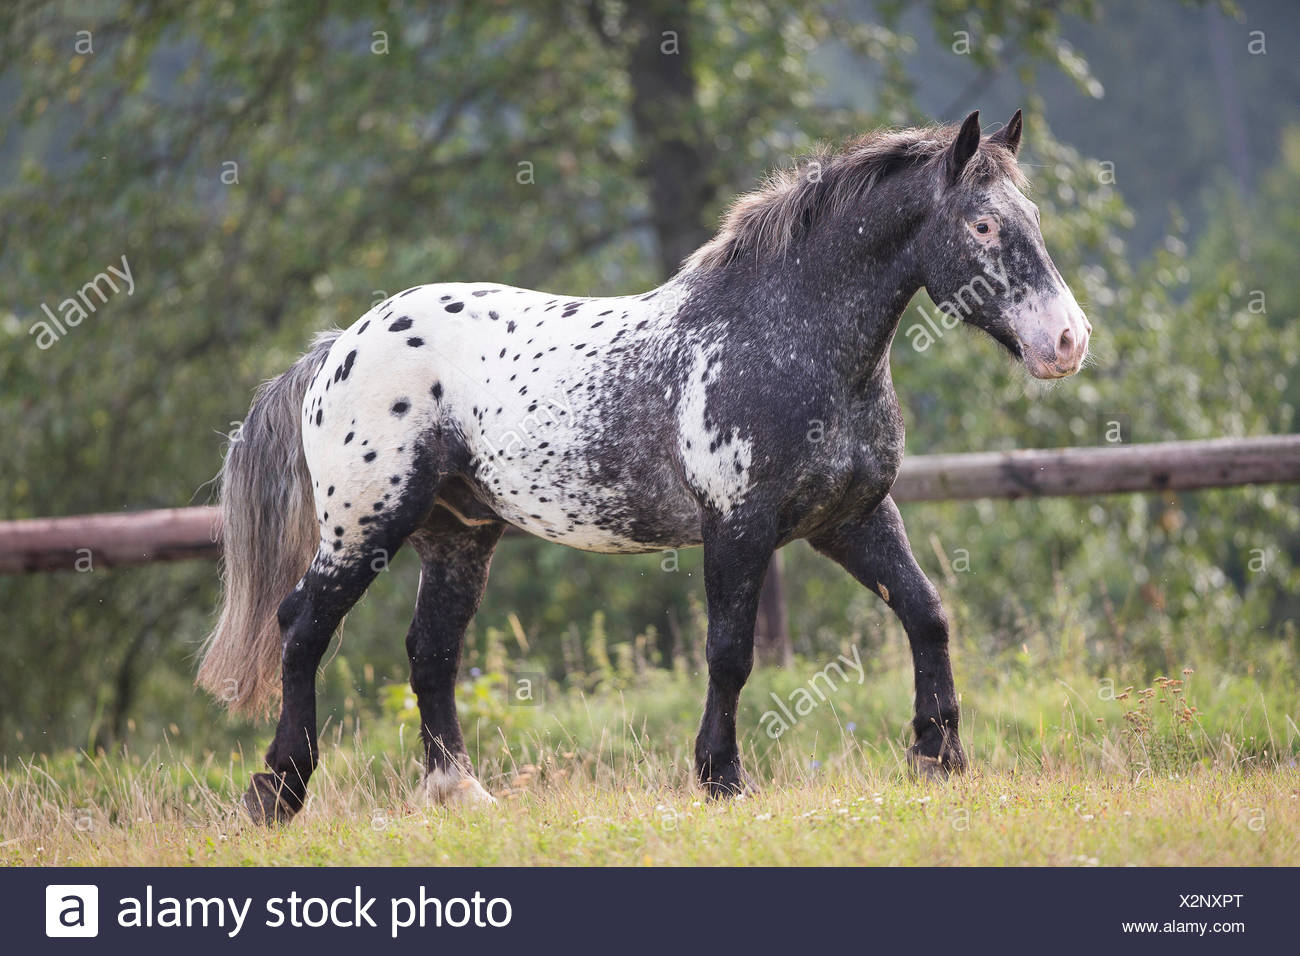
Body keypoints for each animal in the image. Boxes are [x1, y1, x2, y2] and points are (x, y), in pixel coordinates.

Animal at [198, 109, 1091, 824]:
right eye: (982, 227)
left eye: (1032, 215)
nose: (1067, 341)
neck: (788, 341)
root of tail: (337, 347)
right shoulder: (739, 526)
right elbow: (730, 653)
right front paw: (722, 779)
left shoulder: (851, 520)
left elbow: (927, 612)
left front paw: (940, 759)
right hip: (366, 525)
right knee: (302, 627)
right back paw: (277, 794)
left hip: (458, 534)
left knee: (431, 652)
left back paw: (459, 794)